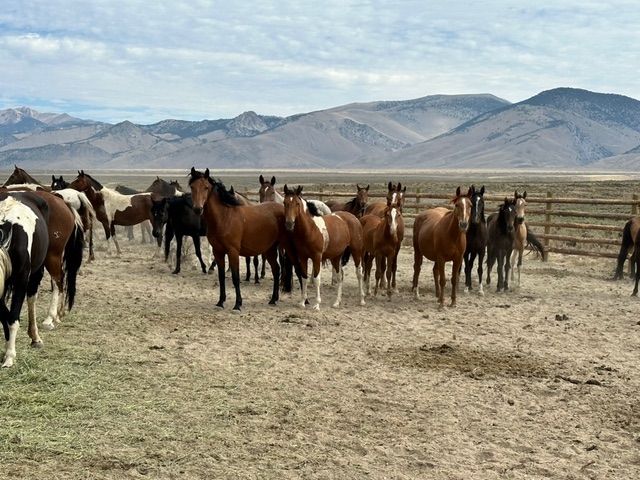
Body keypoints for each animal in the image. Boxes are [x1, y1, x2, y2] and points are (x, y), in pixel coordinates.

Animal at [189, 167, 289, 310]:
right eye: (192, 187)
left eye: (206, 187)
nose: (198, 209)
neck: (224, 217)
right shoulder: (218, 252)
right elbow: (221, 276)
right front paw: (220, 302)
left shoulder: (233, 252)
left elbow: (235, 278)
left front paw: (237, 304)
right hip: (270, 249)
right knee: (276, 270)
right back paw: (273, 299)